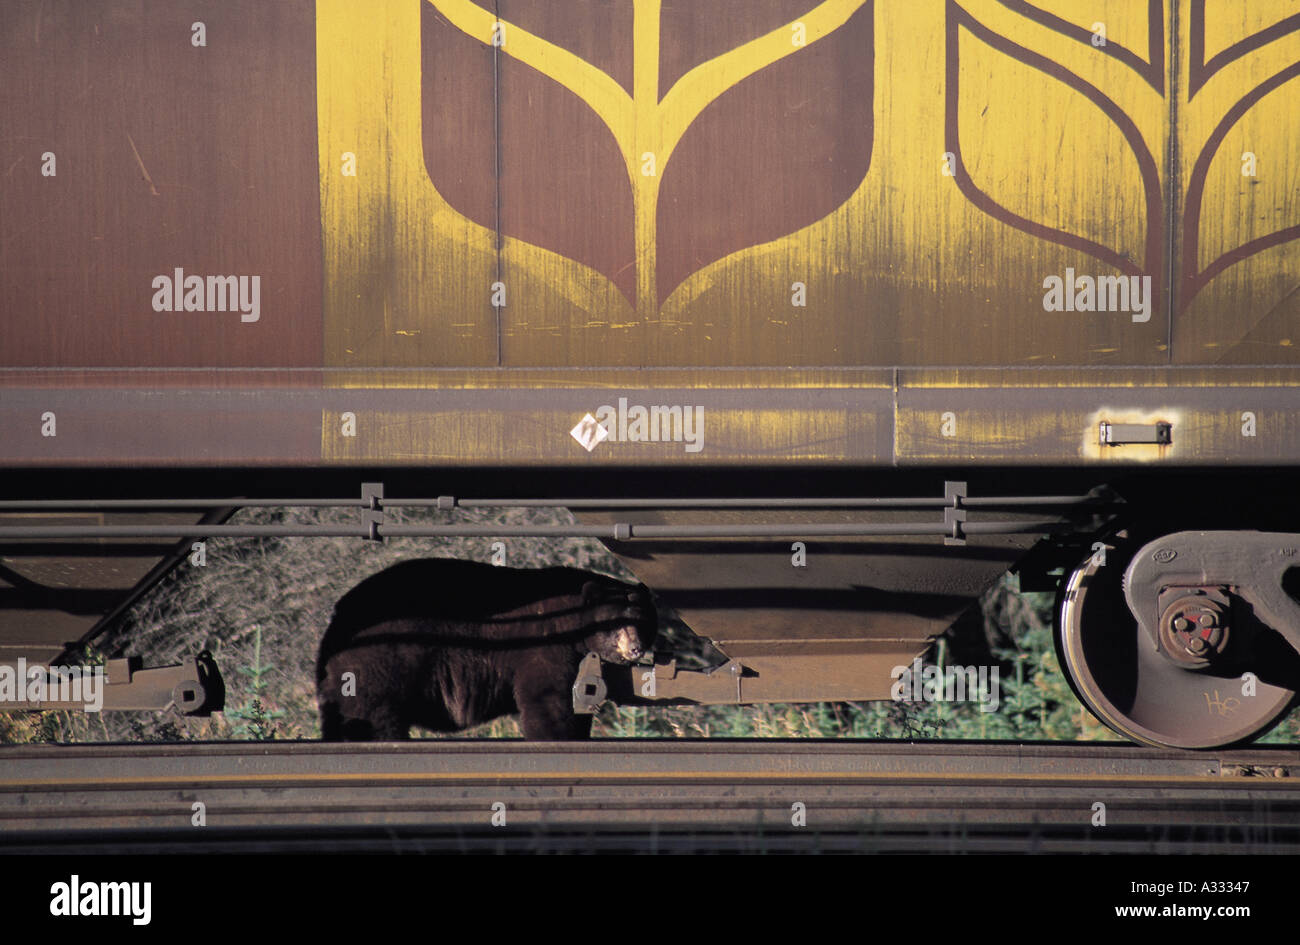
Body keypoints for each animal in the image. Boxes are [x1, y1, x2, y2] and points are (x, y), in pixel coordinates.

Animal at [316, 558, 656, 740]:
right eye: (614, 624)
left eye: (642, 622)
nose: (635, 649)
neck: (571, 622)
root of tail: (336, 624)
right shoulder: (545, 646)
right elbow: (547, 701)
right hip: (380, 664)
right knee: (373, 718)